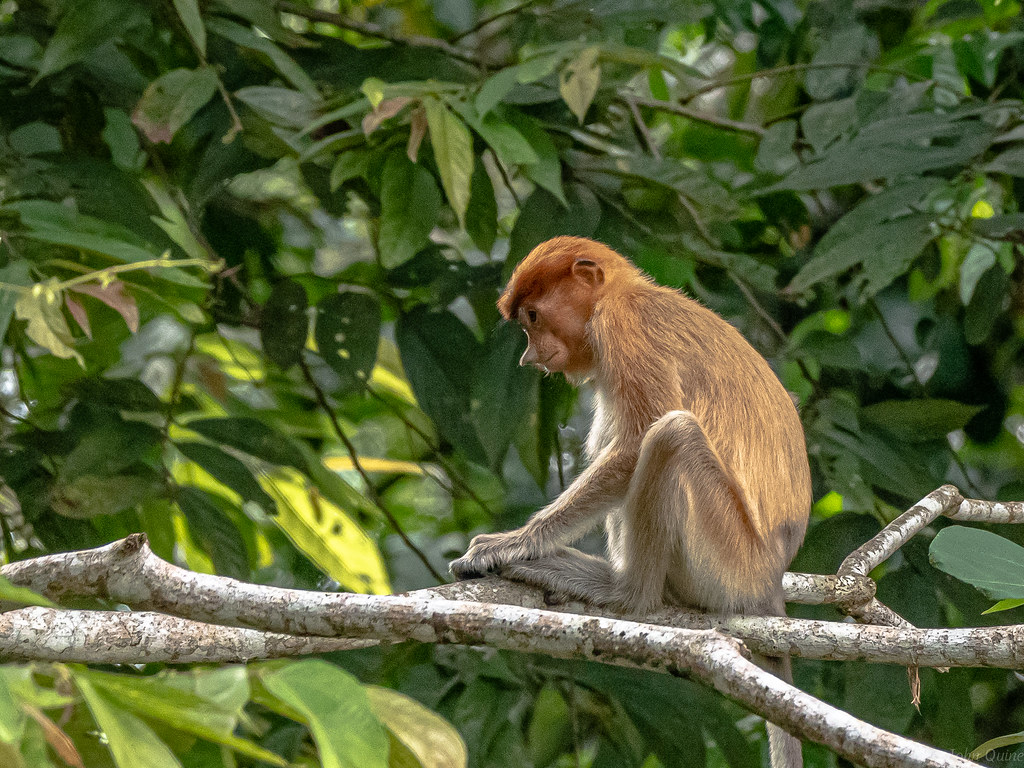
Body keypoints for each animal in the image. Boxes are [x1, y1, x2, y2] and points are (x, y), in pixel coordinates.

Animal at [449, 236, 811, 768]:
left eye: (533, 316)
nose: (528, 358)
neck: (620, 293)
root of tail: (770, 578)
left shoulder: (622, 327)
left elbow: (638, 437)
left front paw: (512, 545)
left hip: (729, 561)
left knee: (671, 435)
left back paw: (624, 591)